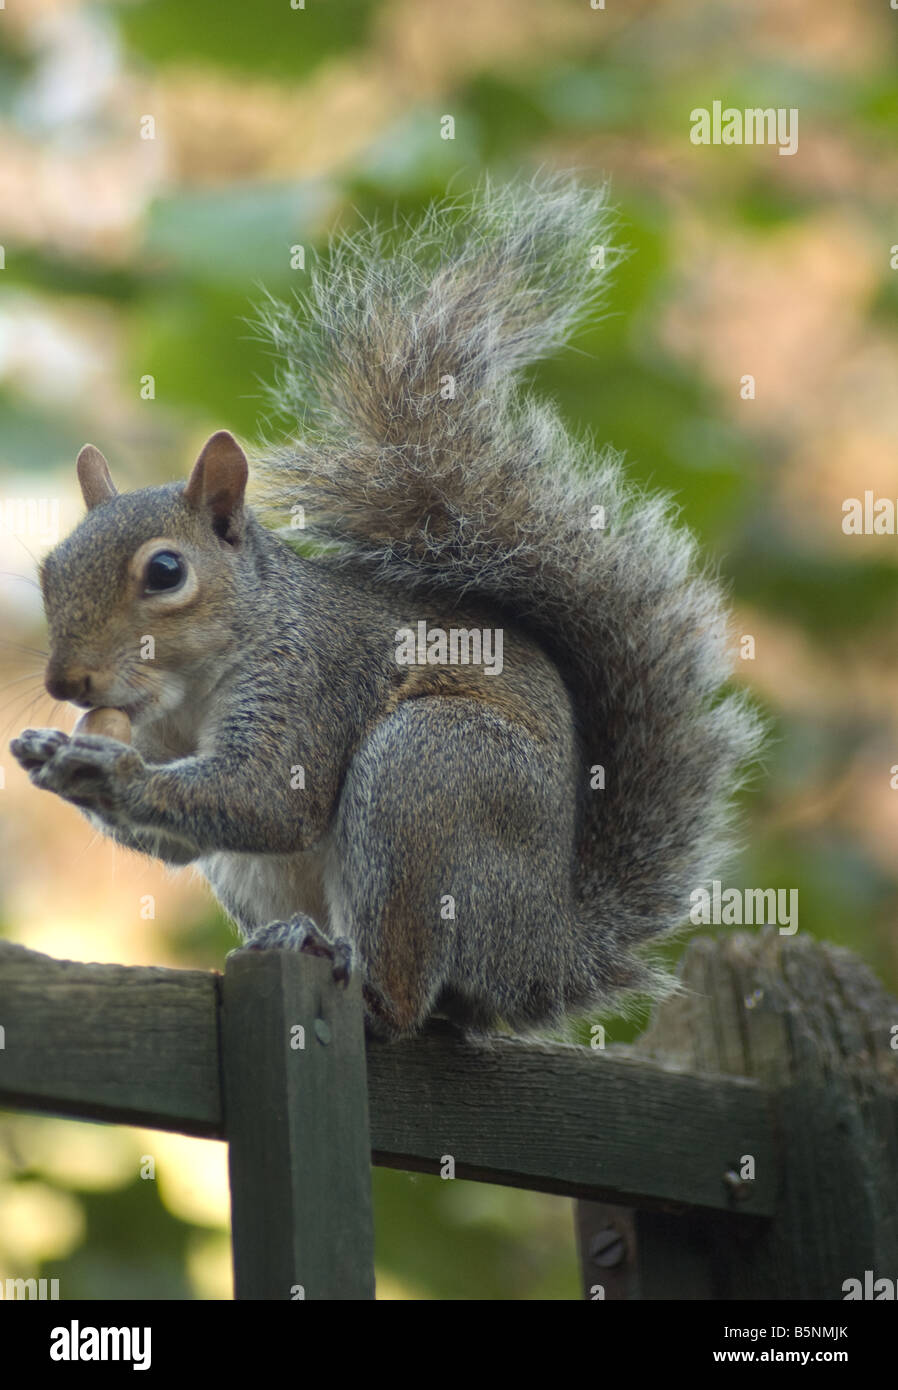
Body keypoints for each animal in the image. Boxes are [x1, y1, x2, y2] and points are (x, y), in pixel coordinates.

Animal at [10, 176, 762, 1040]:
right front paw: (50, 755)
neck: (188, 691)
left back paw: (353, 977)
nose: (67, 684)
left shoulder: (310, 682)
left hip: (427, 773)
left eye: (165, 572)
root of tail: (547, 953)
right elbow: (182, 842)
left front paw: (100, 765)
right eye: (51, 569)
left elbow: (268, 798)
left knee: (406, 999)